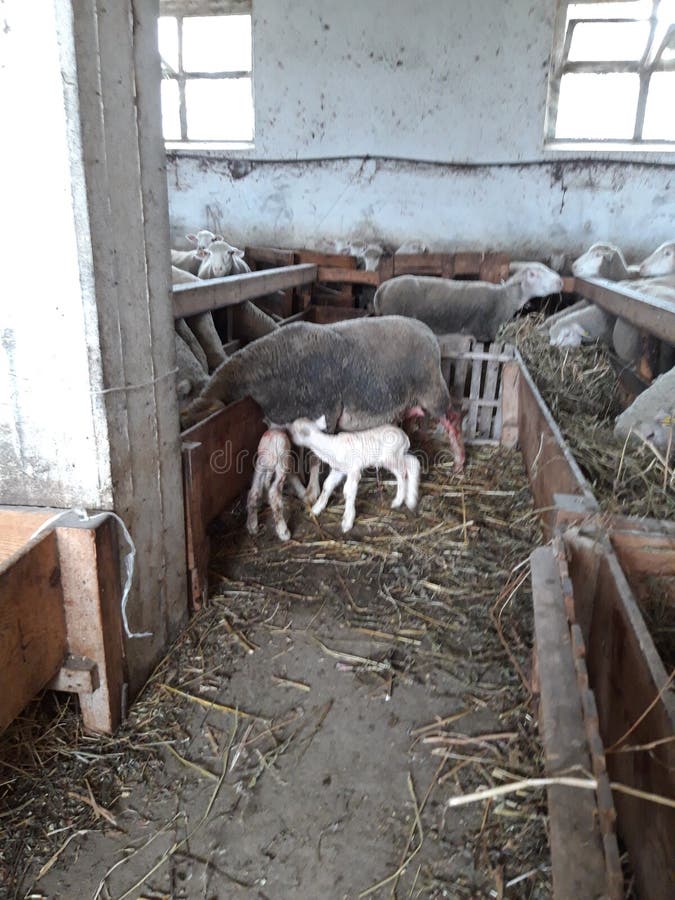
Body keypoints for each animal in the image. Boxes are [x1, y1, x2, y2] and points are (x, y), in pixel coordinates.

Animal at [182, 316, 465, 472]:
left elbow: (316, 455)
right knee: (416, 416)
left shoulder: (327, 411)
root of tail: (429, 333)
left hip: (433, 388)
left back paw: (460, 462)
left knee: (452, 418)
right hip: (412, 398)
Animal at [288, 416, 421, 533]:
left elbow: (348, 491)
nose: (287, 433)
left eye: (293, 431)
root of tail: (404, 436)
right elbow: (327, 485)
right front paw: (316, 509)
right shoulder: (338, 469)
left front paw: (347, 520)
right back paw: (411, 500)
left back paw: (398, 501)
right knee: (413, 463)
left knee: (402, 473)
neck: (330, 447)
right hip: (399, 454)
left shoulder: (354, 470)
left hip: (390, 457)